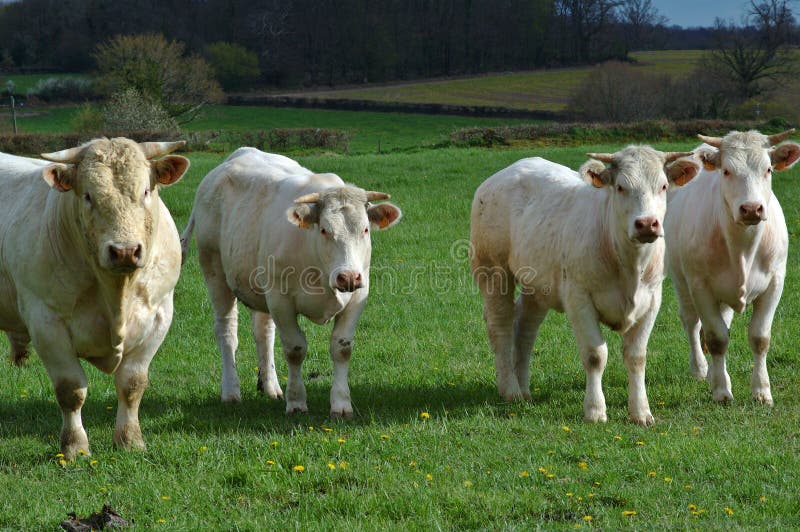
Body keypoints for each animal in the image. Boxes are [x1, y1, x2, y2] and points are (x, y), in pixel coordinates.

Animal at [0, 138, 189, 459]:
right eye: (88, 196)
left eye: (146, 191)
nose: (125, 251)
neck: (116, 296)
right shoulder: (46, 322)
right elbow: (71, 390)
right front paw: (75, 447)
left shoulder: (160, 315)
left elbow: (132, 384)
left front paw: (130, 440)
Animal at [180, 148, 401, 417]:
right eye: (324, 229)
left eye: (366, 229)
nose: (348, 276)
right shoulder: (281, 300)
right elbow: (295, 349)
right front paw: (296, 402)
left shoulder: (358, 296)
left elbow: (342, 348)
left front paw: (341, 404)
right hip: (215, 271)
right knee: (226, 330)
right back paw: (231, 391)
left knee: (263, 332)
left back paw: (271, 387)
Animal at [470, 147, 699, 425]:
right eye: (621, 187)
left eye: (664, 186)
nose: (646, 223)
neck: (629, 265)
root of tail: (505, 173)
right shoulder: (578, 297)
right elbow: (595, 355)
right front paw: (595, 410)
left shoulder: (653, 299)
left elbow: (636, 356)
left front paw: (641, 412)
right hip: (493, 270)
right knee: (500, 326)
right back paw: (510, 389)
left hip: (537, 284)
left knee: (525, 329)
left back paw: (524, 390)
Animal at [665, 129, 800, 405]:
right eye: (726, 171)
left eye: (768, 169)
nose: (751, 208)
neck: (742, 249)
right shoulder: (700, 286)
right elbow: (717, 338)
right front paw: (721, 391)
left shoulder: (775, 283)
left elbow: (759, 337)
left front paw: (761, 391)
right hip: (681, 280)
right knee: (692, 323)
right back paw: (700, 369)